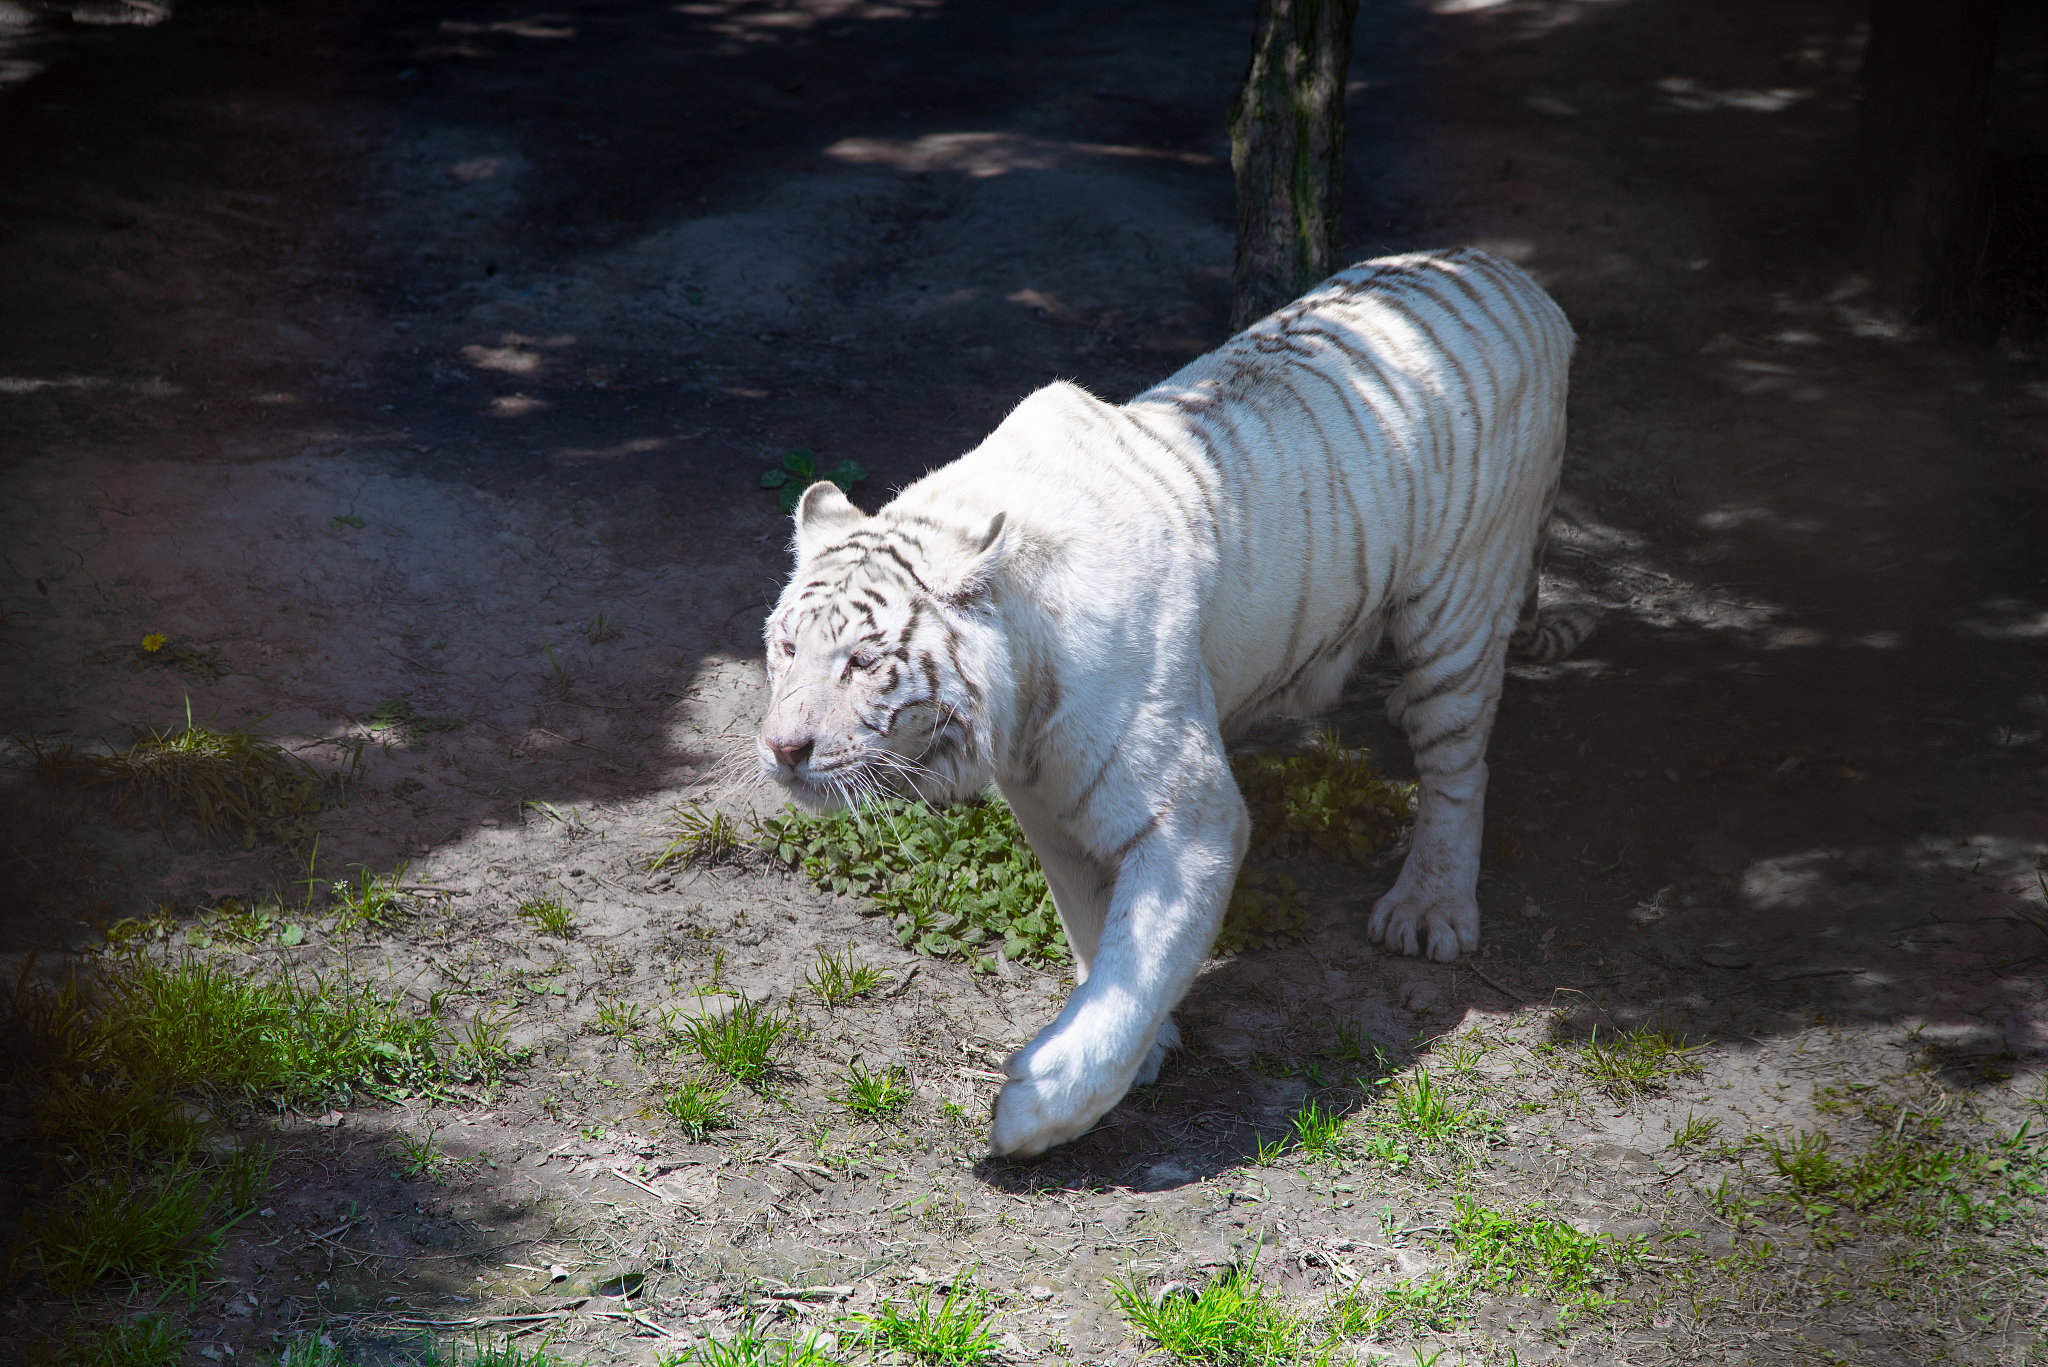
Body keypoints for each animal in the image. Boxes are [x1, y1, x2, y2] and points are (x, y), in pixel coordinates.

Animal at [756, 247, 1593, 1158]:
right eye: (787, 647)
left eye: (864, 659)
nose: (783, 749)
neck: (1019, 696)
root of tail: (1512, 275)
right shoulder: (1053, 809)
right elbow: (1097, 934)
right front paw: (1148, 1046)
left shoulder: (1189, 820)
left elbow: (1138, 964)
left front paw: (1039, 1105)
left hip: (1458, 605)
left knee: (1459, 767)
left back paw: (1428, 908)